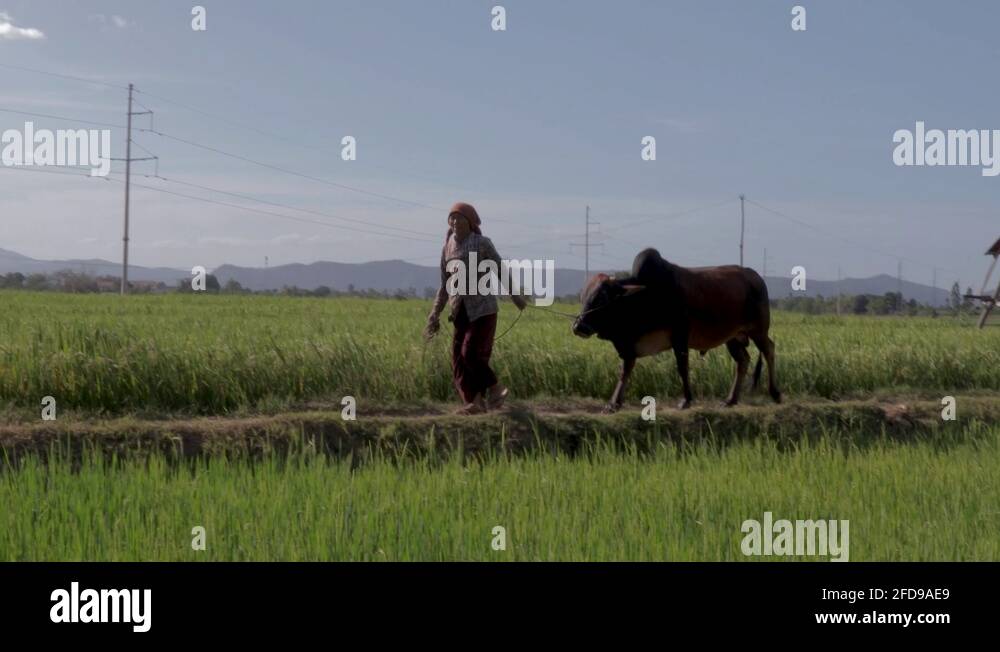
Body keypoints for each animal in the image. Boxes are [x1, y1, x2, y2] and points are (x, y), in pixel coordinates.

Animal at [572, 248, 781, 412]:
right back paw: (730, 400)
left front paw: (686, 400)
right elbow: (625, 371)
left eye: (601, 297)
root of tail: (755, 277)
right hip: (732, 337)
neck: (645, 294)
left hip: (758, 330)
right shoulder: (629, 346)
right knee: (743, 360)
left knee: (769, 350)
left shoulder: (680, 336)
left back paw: (775, 393)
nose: (579, 326)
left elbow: (682, 367)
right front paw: (613, 403)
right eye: (583, 297)